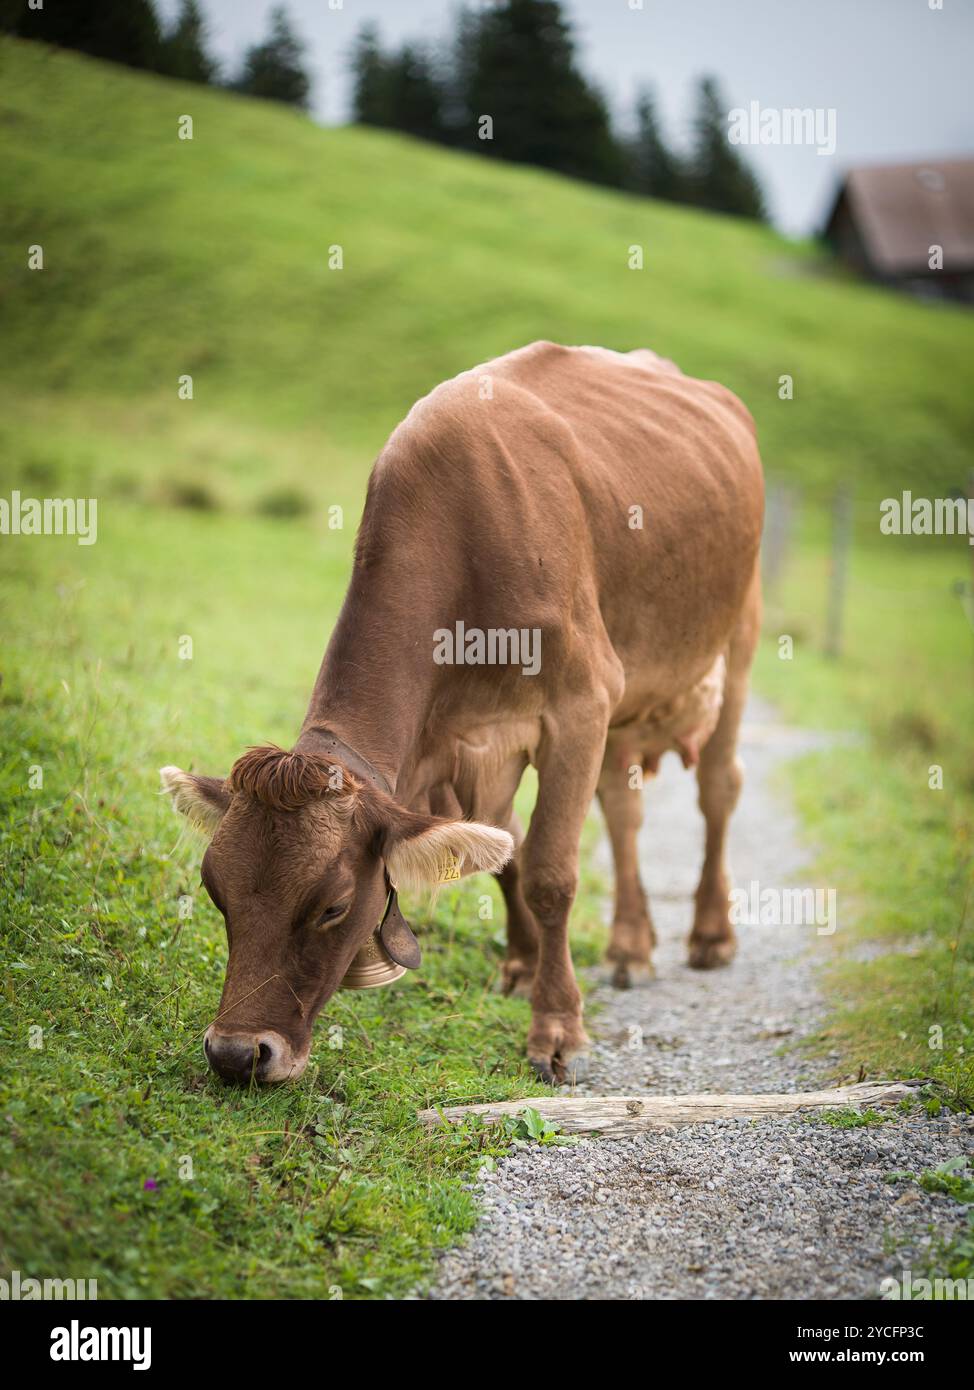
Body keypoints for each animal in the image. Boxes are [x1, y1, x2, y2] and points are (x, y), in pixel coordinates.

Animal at [161, 342, 764, 1085]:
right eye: (216, 890)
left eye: (333, 906)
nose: (237, 1053)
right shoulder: (459, 741)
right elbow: (502, 850)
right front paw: (523, 967)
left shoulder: (580, 703)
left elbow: (550, 873)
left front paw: (556, 1028)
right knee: (624, 811)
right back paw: (629, 945)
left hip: (737, 639)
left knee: (718, 789)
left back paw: (710, 935)